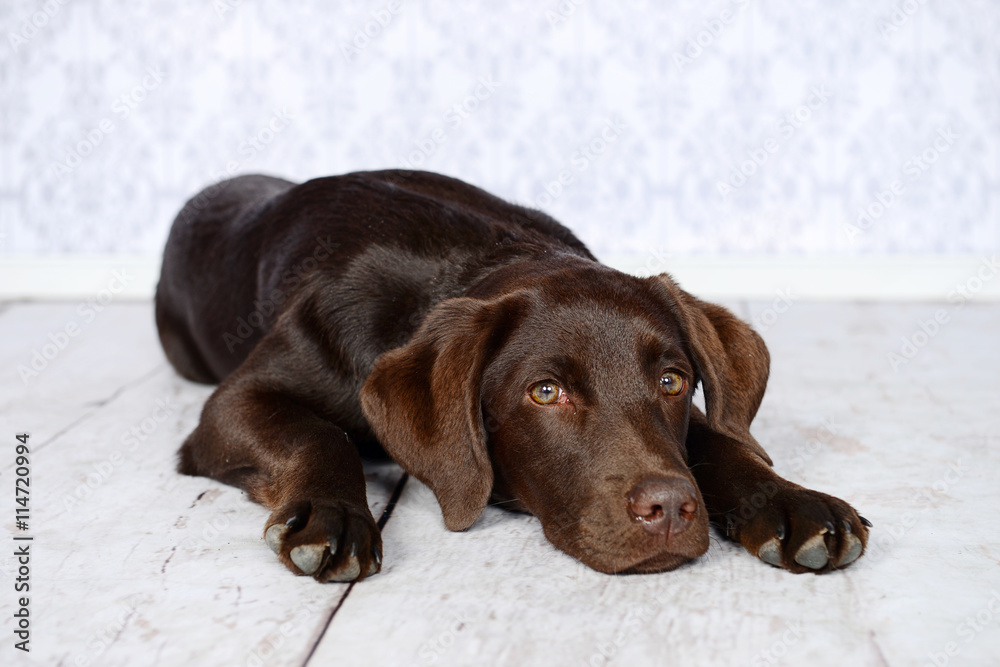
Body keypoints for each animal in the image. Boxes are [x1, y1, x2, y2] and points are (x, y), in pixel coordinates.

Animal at [156, 170, 868, 580]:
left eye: (671, 381)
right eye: (545, 392)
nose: (669, 510)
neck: (474, 263)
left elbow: (716, 439)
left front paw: (790, 502)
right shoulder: (236, 400)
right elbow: (318, 434)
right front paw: (332, 514)